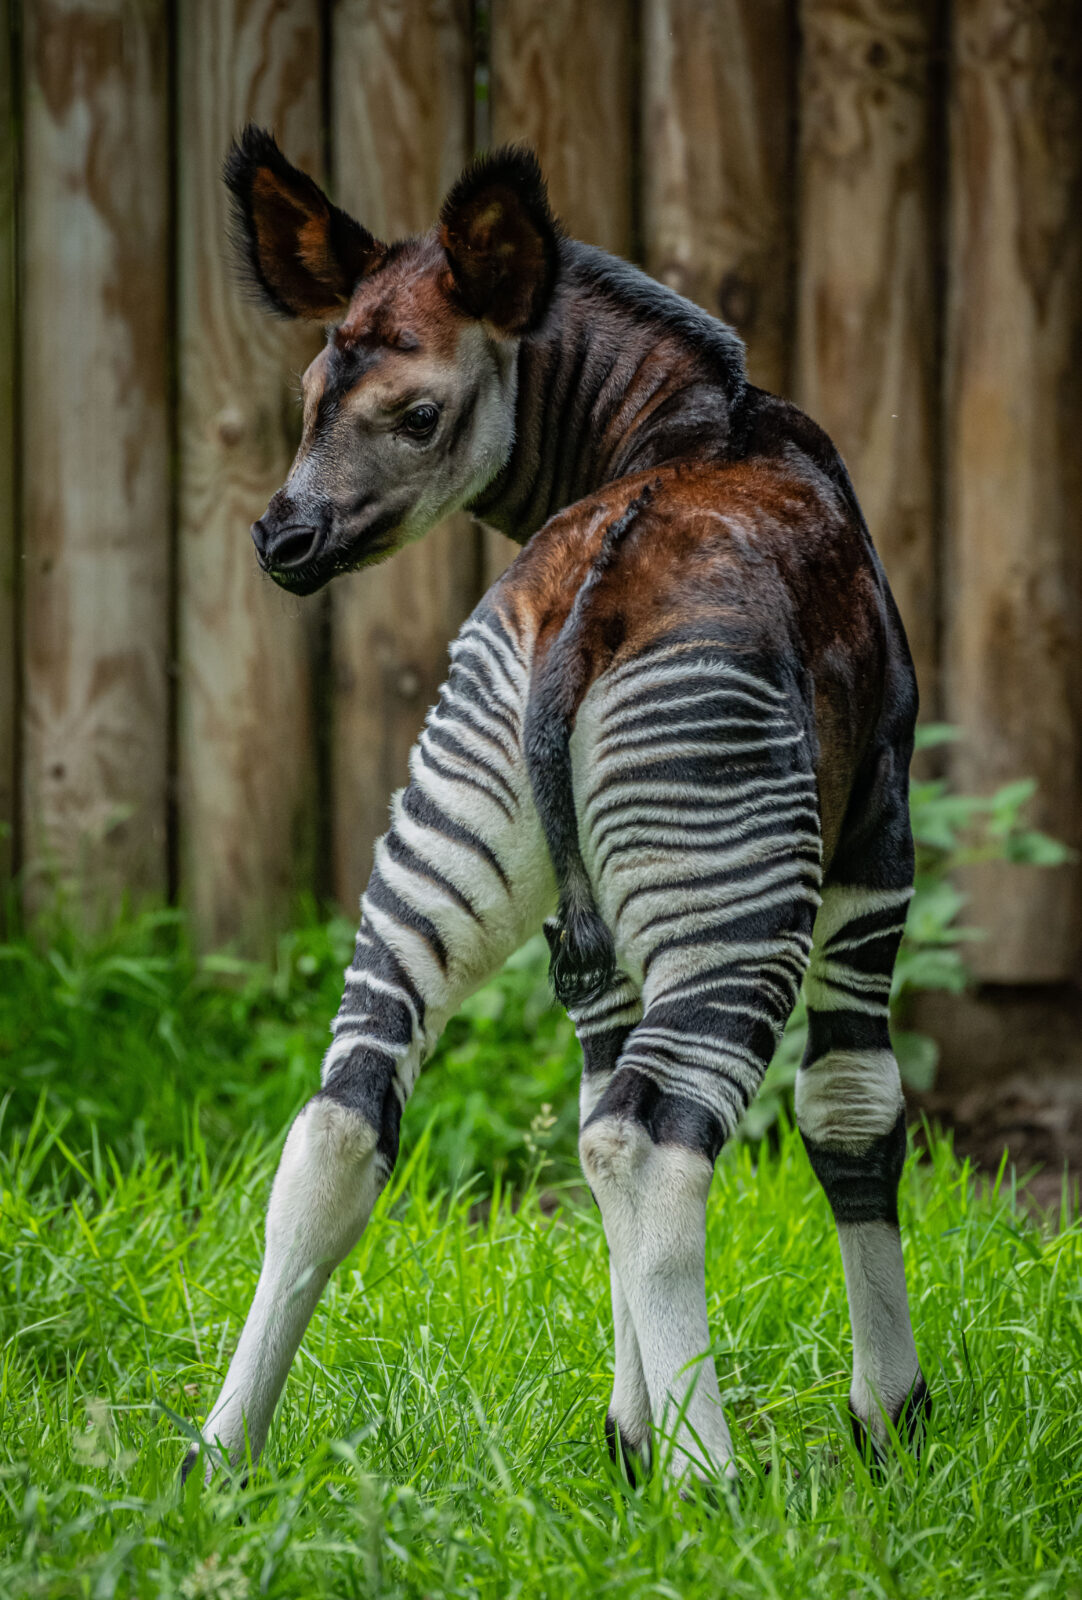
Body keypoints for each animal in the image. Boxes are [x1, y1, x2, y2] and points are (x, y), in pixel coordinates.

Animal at [184, 127, 929, 1489]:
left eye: (414, 413)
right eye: (310, 399)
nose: (281, 537)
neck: (680, 426)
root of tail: (586, 599)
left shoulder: (572, 919)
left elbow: (584, 1106)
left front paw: (624, 1436)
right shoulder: (877, 824)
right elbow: (848, 1107)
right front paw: (885, 1419)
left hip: (451, 823)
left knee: (346, 1116)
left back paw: (222, 1454)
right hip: (738, 880)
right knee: (657, 1139)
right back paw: (712, 1480)